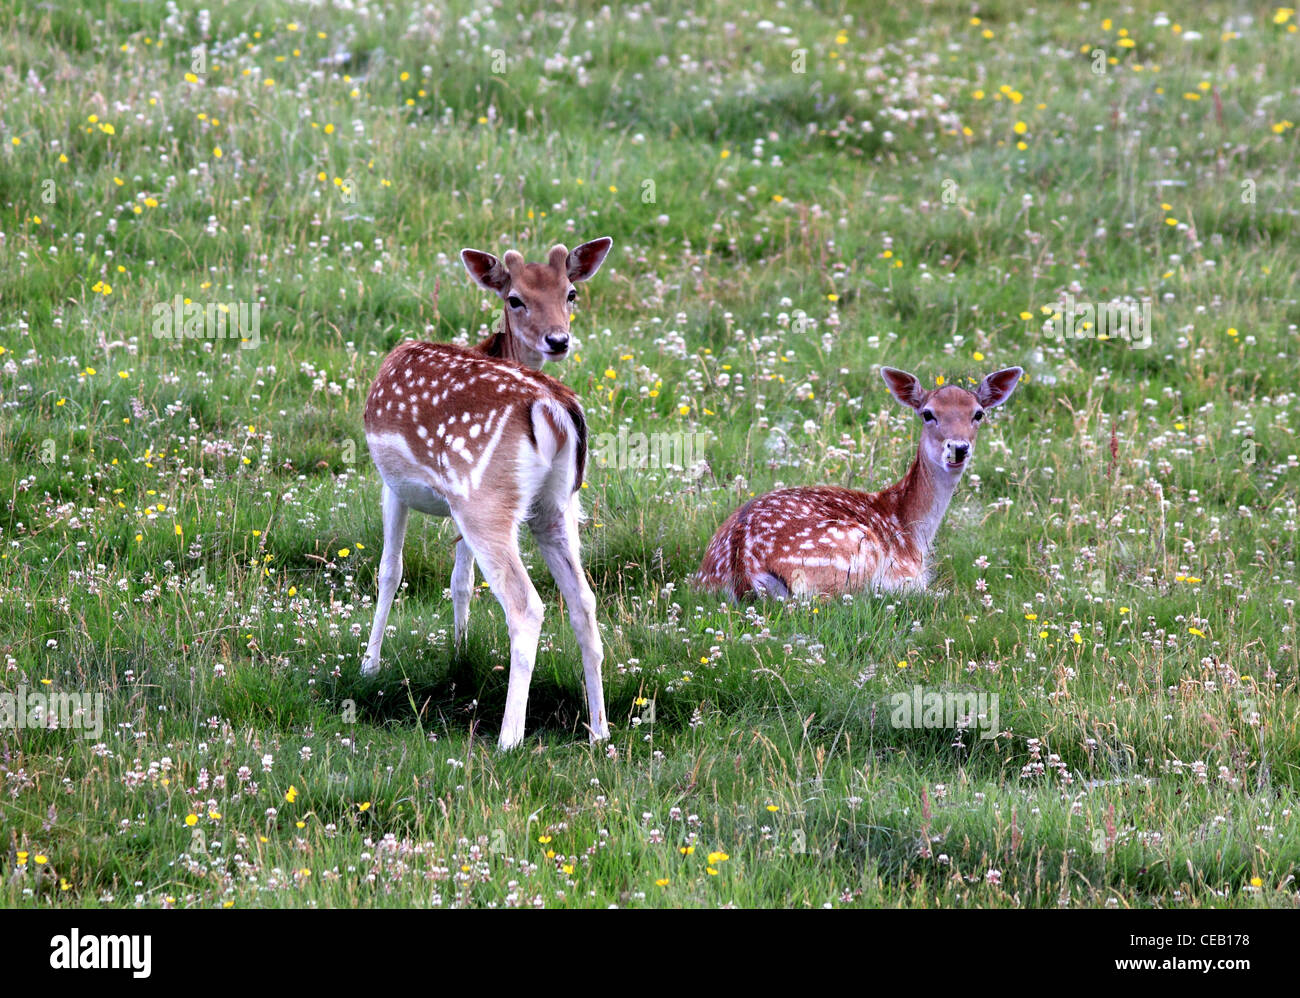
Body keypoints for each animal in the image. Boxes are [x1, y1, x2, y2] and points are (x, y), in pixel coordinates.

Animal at [360, 237, 613, 750]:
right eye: (515, 298)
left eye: (570, 293)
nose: (558, 340)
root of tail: (555, 407)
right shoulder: (454, 505)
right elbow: (460, 580)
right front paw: (459, 653)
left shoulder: (392, 484)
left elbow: (390, 571)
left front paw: (369, 667)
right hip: (554, 506)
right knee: (584, 601)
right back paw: (600, 731)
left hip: (487, 498)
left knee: (527, 606)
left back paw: (509, 738)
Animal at [698, 366, 1023, 599]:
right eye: (928, 413)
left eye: (978, 413)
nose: (958, 448)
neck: (913, 531)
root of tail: (743, 566)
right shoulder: (905, 573)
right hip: (852, 552)